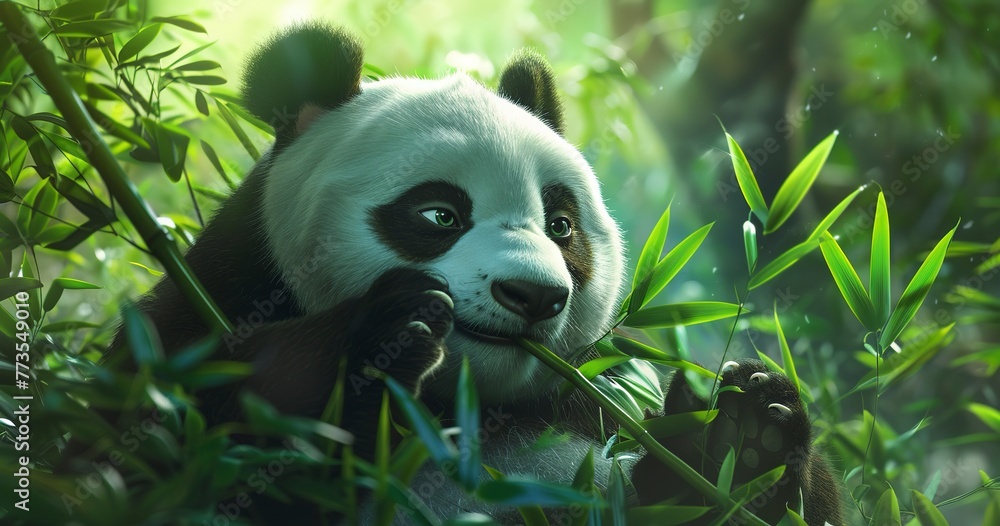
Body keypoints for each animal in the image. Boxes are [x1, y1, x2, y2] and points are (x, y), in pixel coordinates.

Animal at [120, 23, 842, 525]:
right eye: (439, 214)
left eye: (561, 225)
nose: (535, 295)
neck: (470, 406)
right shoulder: (213, 300)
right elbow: (164, 445)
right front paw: (384, 336)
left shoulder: (604, 388)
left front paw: (750, 432)